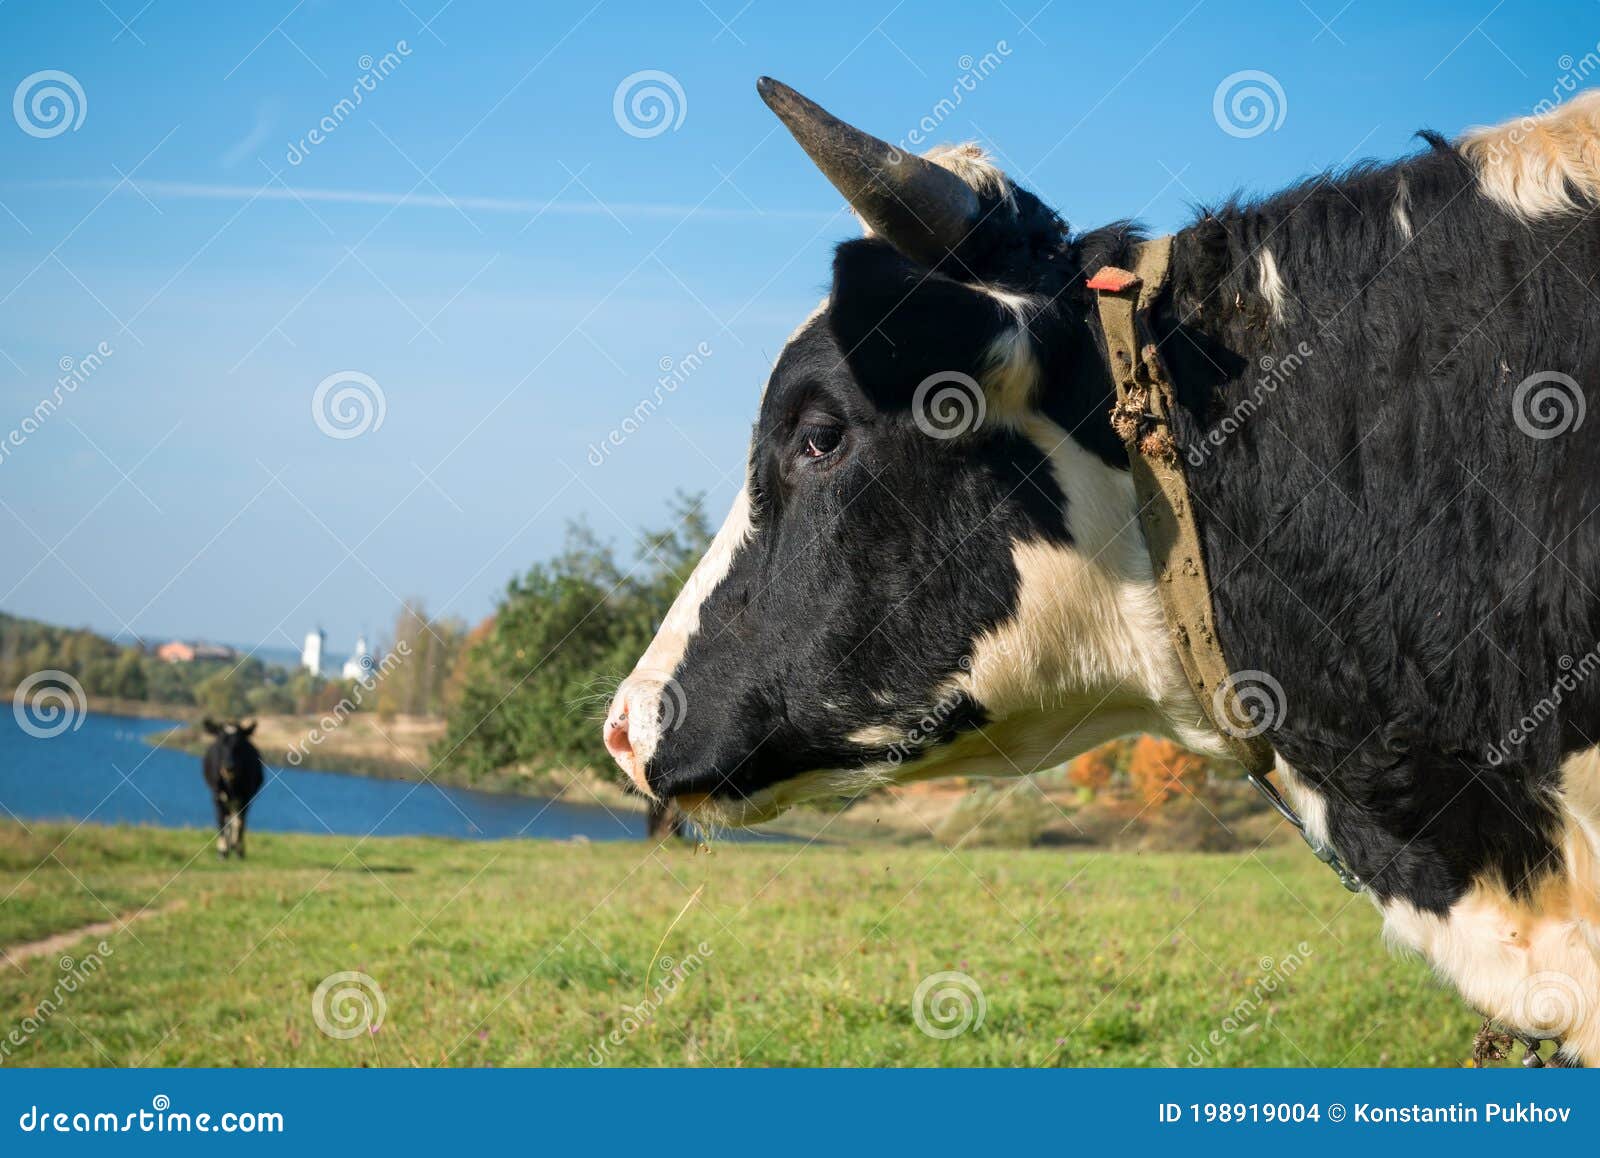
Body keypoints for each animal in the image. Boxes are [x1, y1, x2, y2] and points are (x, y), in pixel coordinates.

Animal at [202, 718, 264, 859]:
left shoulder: (246, 798)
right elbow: (221, 821)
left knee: (235, 819)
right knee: (228, 819)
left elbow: (240, 823)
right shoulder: (217, 797)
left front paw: (239, 850)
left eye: (239, 743)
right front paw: (222, 851)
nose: (228, 766)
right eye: (220, 742)